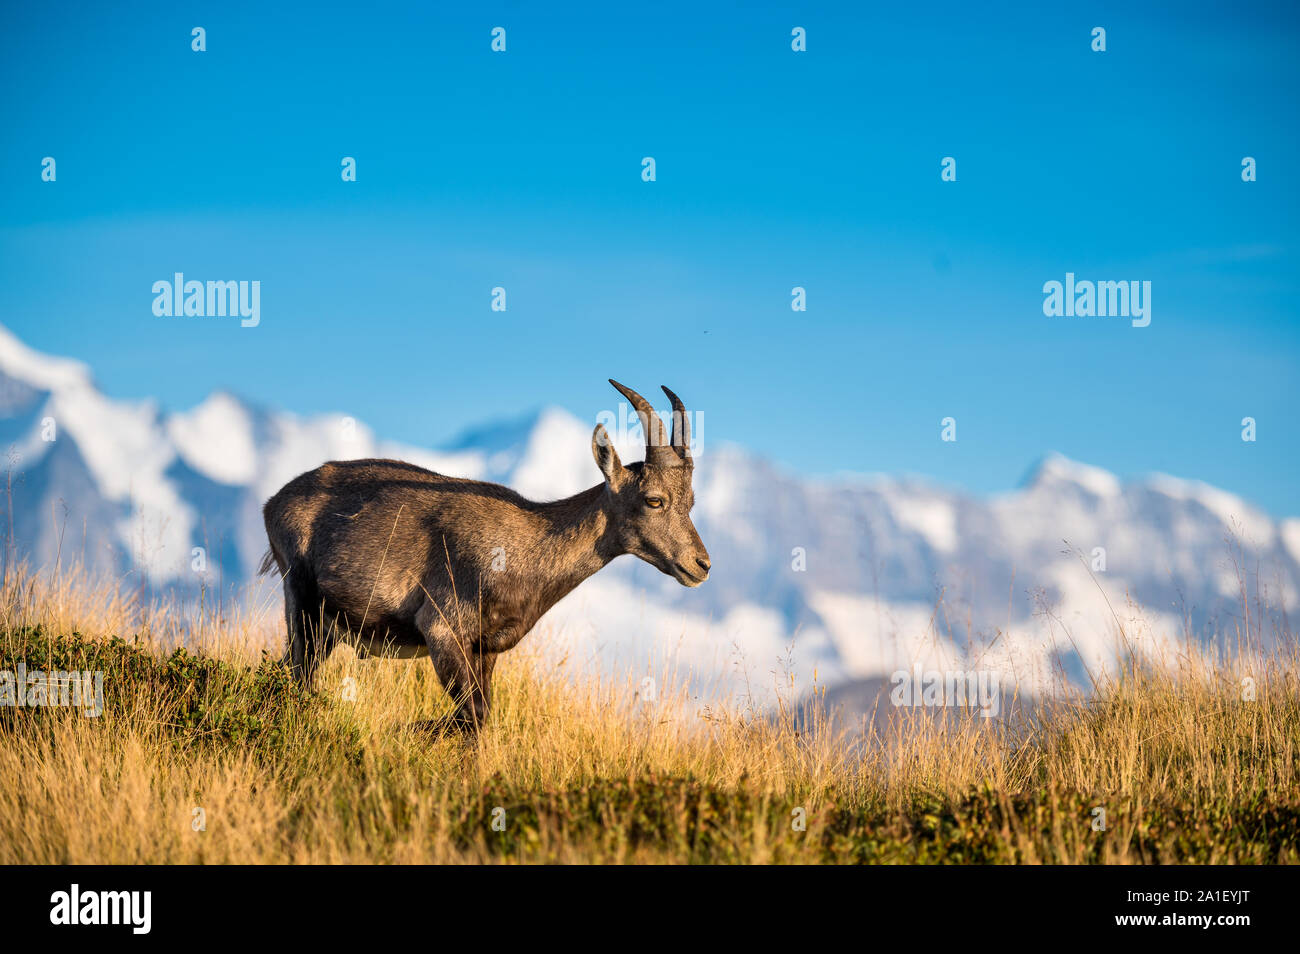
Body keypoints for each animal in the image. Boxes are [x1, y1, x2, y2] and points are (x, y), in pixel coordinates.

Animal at [259, 380, 710, 732]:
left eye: (690, 501)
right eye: (654, 500)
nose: (701, 565)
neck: (523, 549)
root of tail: (274, 502)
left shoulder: (485, 650)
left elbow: (480, 716)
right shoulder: (442, 630)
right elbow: (472, 715)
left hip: (324, 627)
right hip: (301, 601)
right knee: (295, 678)